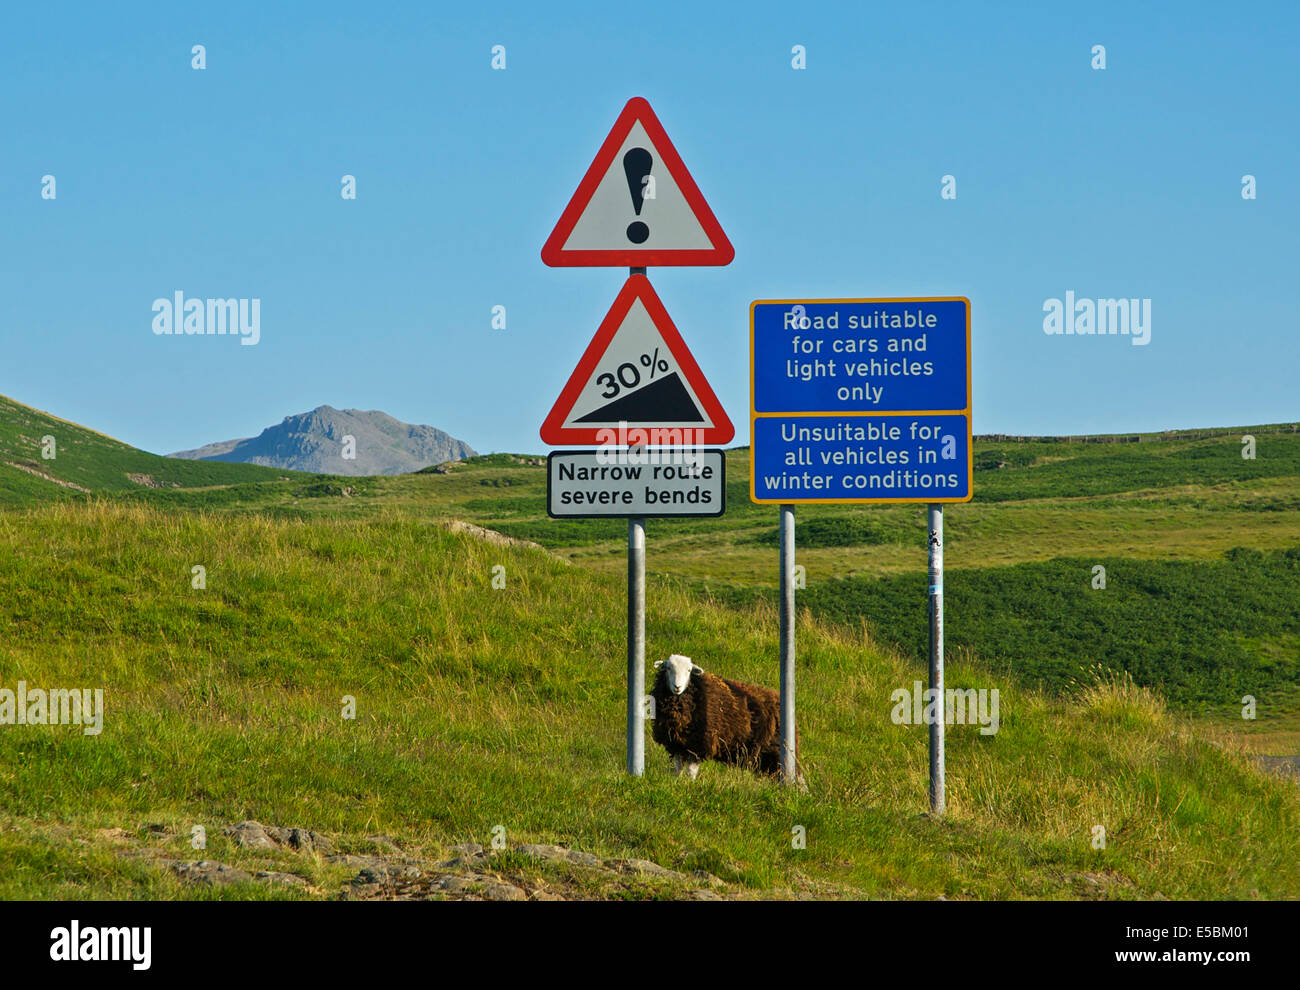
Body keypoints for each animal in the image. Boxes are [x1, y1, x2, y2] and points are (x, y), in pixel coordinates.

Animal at [649, 654, 795, 781]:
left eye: (689, 670)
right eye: (668, 668)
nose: (677, 687)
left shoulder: (700, 745)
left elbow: (690, 772)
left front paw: (689, 784)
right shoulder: (676, 743)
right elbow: (678, 770)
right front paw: (677, 783)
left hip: (777, 751)